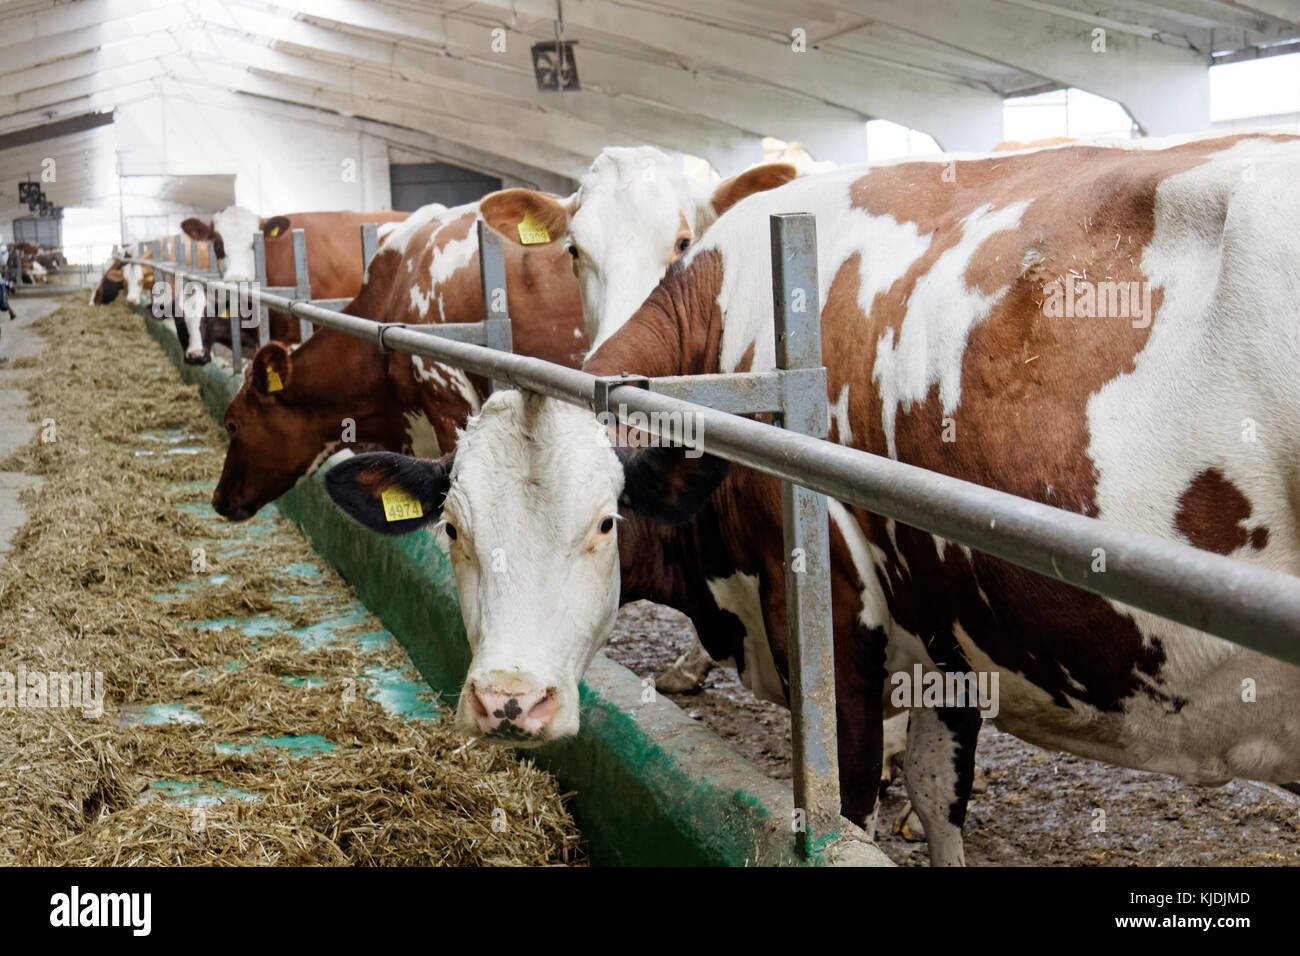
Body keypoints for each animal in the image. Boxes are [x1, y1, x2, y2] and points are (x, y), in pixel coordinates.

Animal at [324, 133, 1300, 865]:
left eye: (603, 524)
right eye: (455, 529)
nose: (508, 702)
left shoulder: (833, 625)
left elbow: (852, 816)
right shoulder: (940, 614)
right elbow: (940, 796)